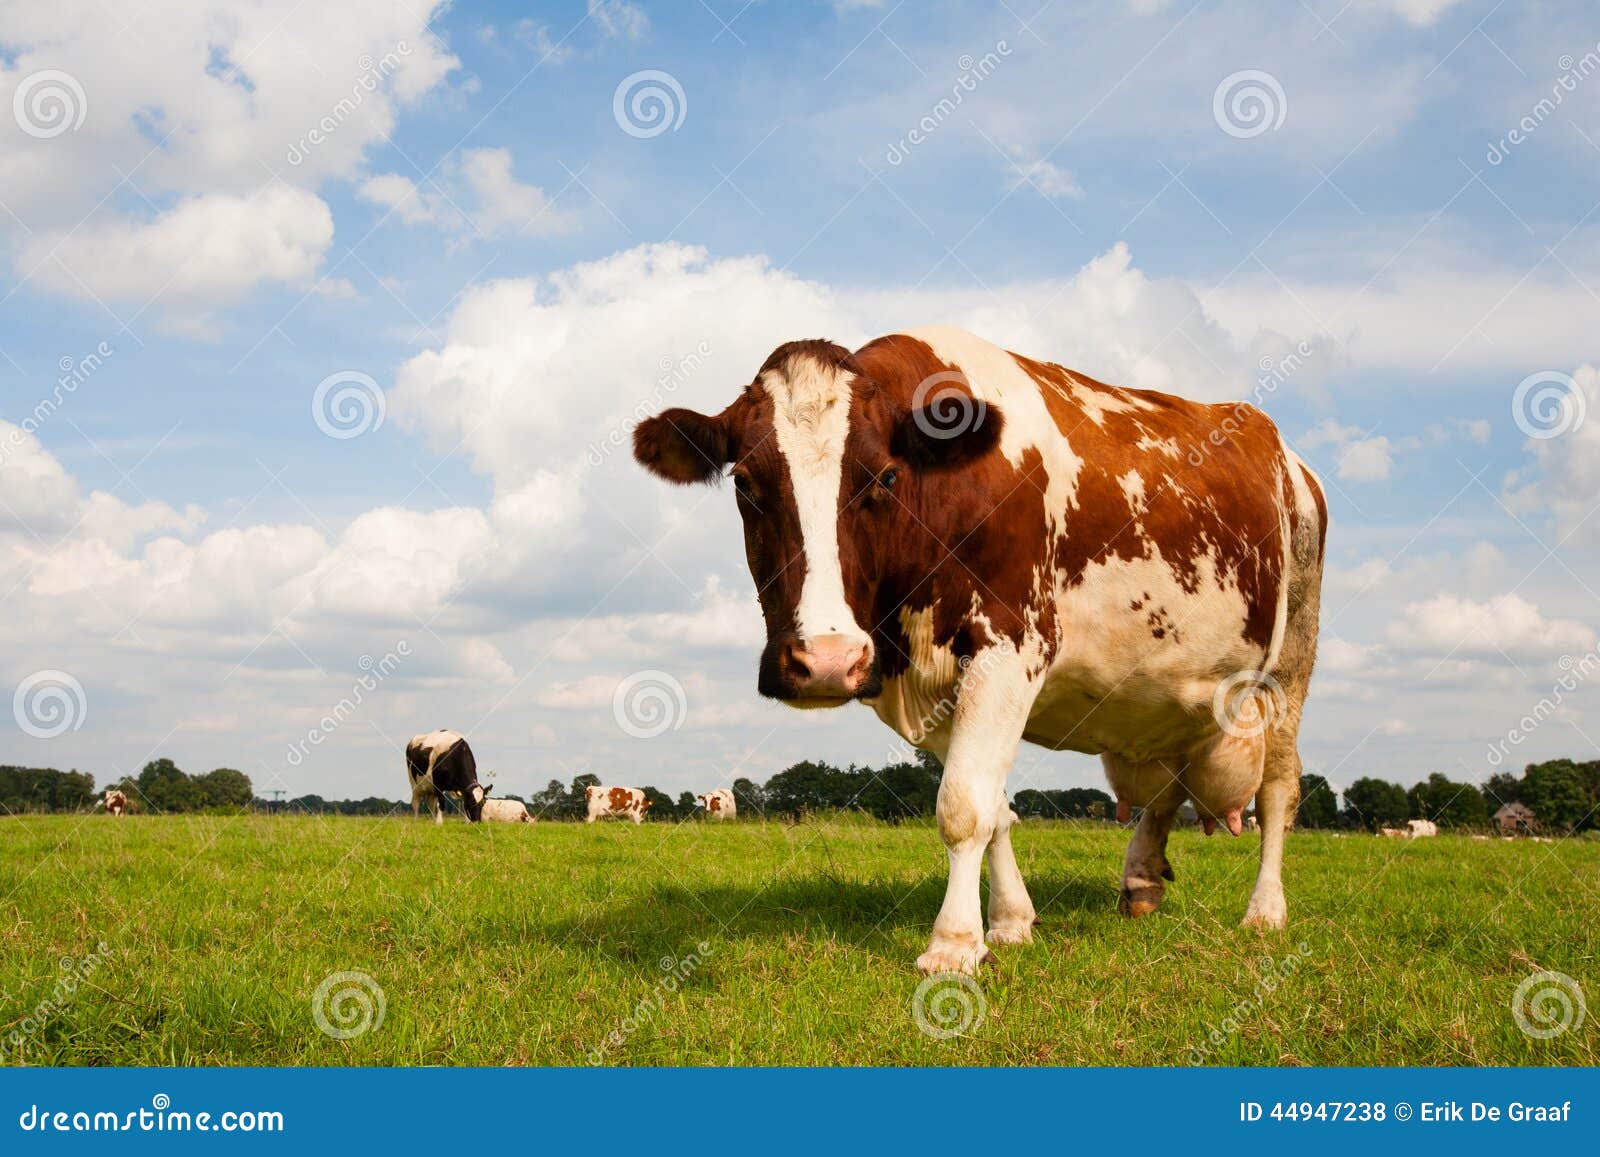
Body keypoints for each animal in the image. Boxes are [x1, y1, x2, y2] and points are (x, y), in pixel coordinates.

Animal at [634, 326, 1325, 975]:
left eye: (886, 476)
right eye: (746, 483)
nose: (826, 662)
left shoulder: (1011, 649)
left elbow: (963, 805)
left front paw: (955, 943)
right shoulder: (929, 685)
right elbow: (993, 805)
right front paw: (1013, 922)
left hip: (1292, 659)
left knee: (1278, 789)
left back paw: (1265, 912)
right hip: (1164, 694)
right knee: (1164, 788)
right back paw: (1142, 878)